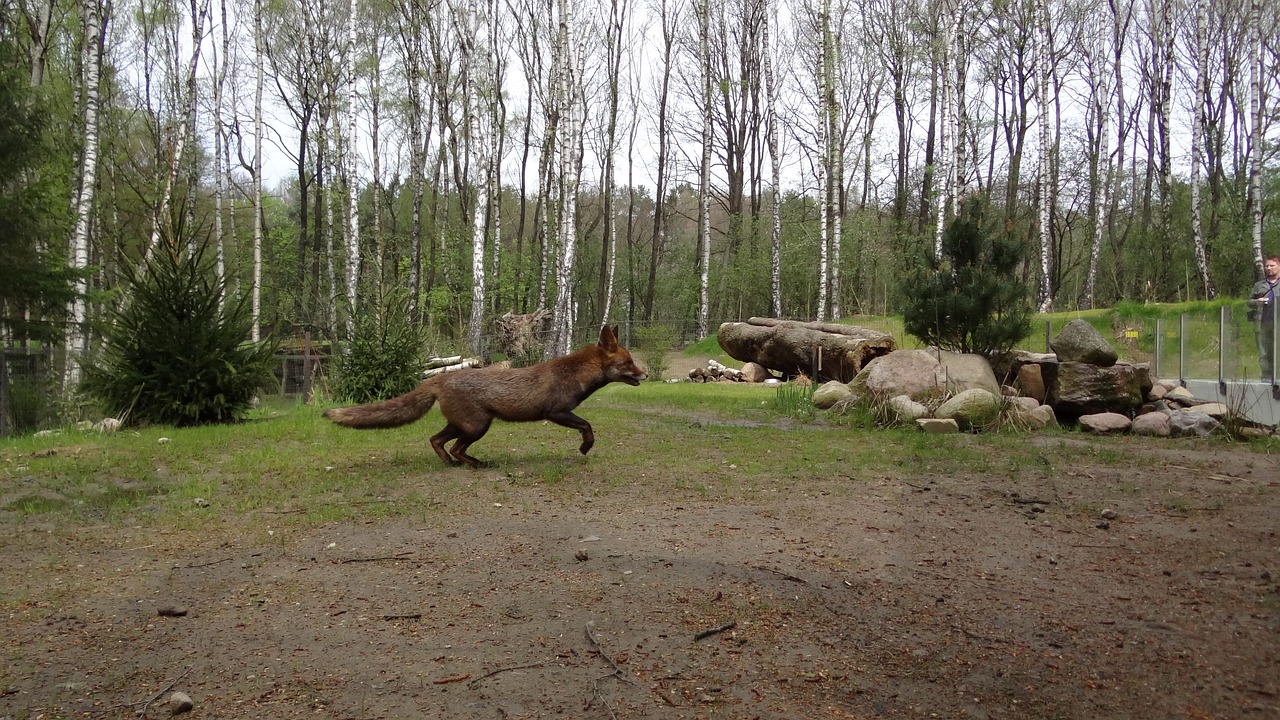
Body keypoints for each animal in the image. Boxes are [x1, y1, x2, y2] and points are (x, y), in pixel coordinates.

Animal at [323, 325, 647, 467]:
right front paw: (585, 447)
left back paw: (454, 463)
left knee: (436, 441)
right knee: (454, 447)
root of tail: (441, 376)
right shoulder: (555, 412)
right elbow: (587, 426)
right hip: (478, 426)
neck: (574, 373)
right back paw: (475, 464)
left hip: (463, 425)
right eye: (628, 362)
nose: (644, 374)